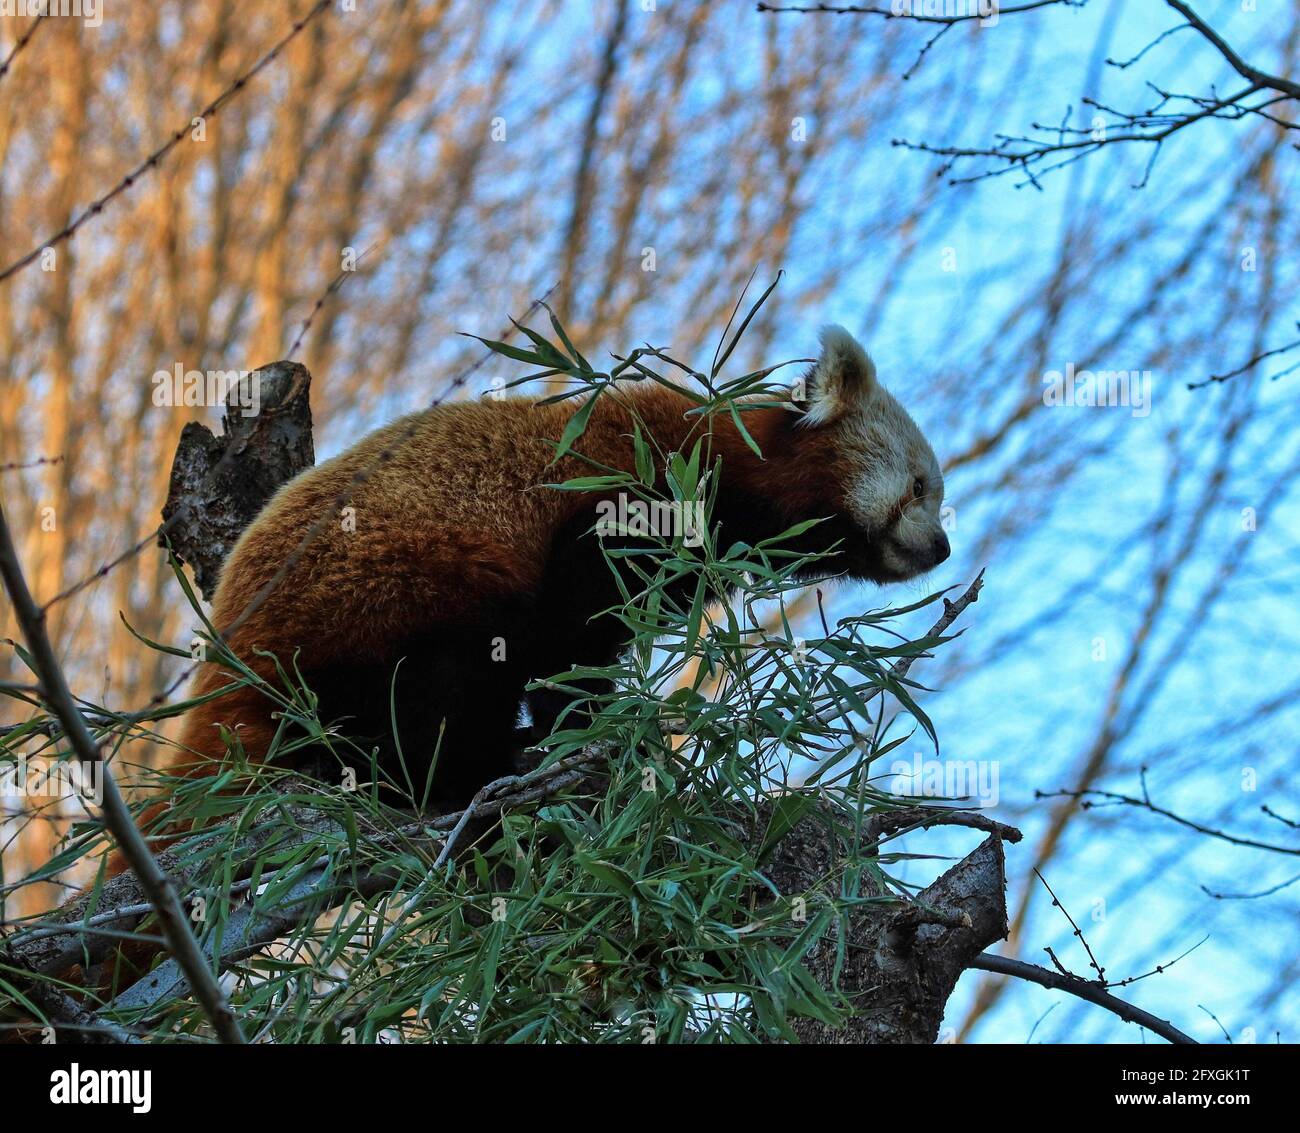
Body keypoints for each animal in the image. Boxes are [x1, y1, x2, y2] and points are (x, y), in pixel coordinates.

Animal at [170, 325, 949, 808]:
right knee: (440, 680)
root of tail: (226, 657)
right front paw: (586, 729)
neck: (730, 463)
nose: (942, 548)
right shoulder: (625, 506)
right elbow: (570, 636)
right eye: (919, 488)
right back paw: (460, 770)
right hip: (381, 598)